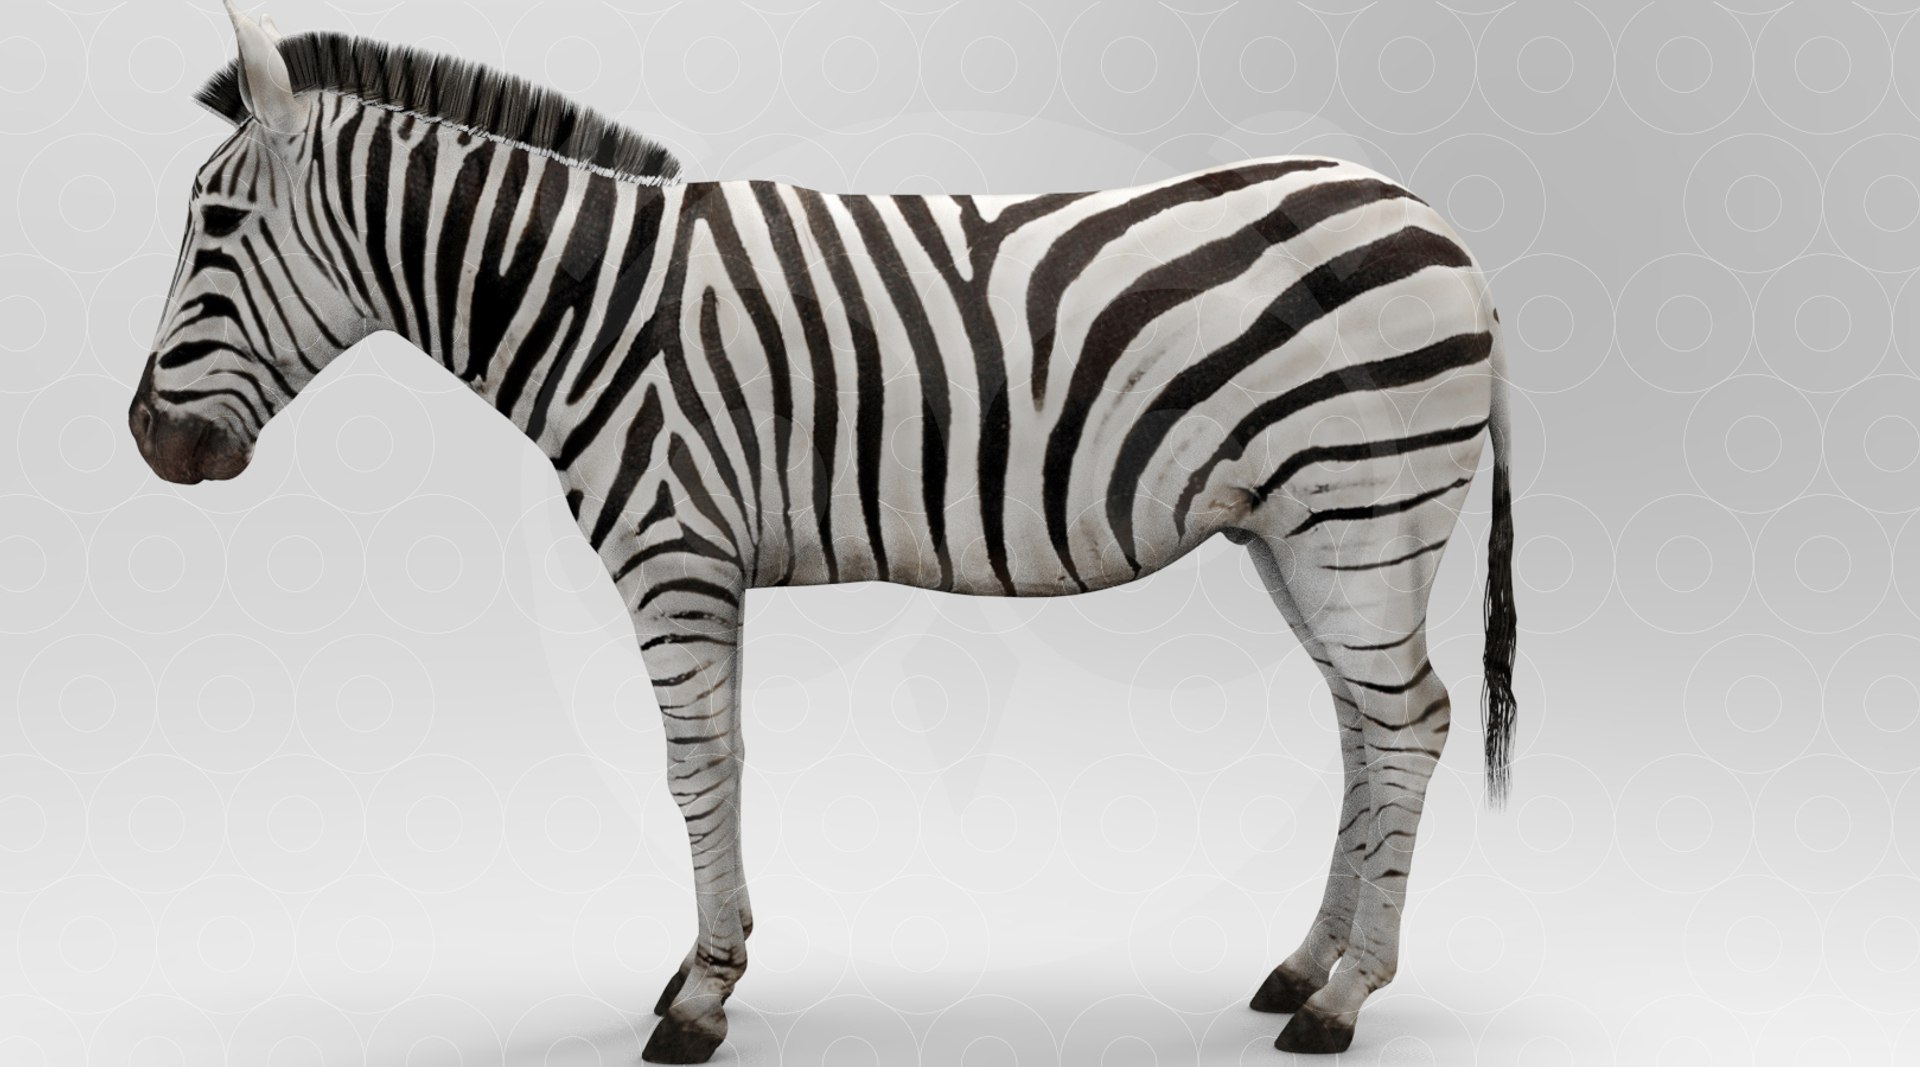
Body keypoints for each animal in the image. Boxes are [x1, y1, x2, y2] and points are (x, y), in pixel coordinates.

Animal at [127, 6, 1520, 1062]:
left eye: (214, 227)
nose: (147, 440)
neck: (597, 307)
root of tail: (1446, 229)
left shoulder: (674, 547)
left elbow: (696, 766)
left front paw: (700, 994)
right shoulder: (707, 559)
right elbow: (728, 759)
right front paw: (713, 961)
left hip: (1362, 509)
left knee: (1408, 723)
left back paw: (1346, 998)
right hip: (1298, 529)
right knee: (1363, 727)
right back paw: (1301, 966)